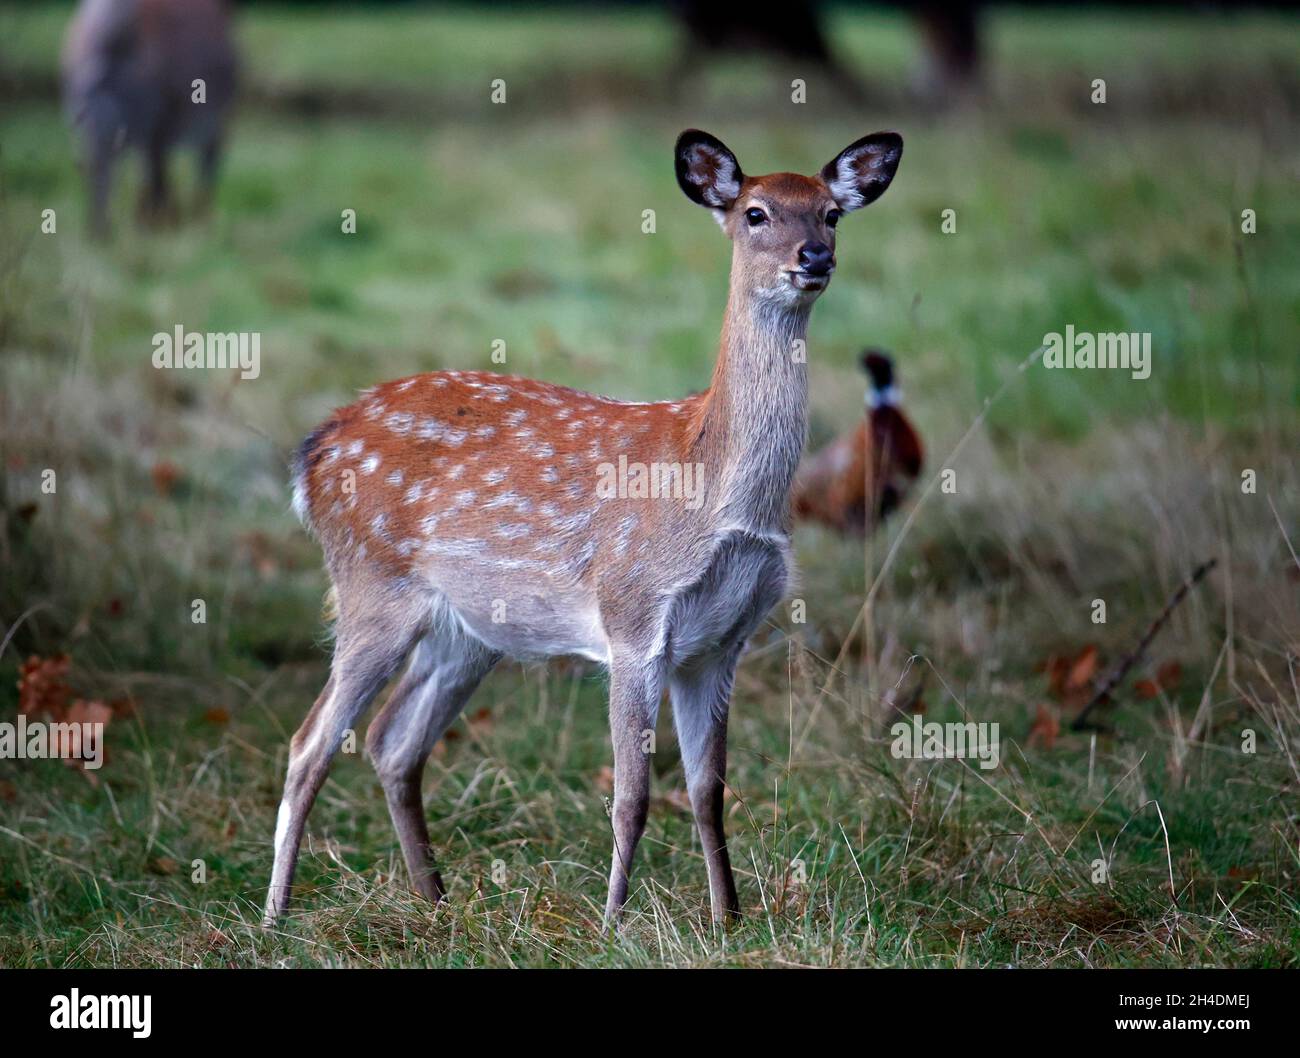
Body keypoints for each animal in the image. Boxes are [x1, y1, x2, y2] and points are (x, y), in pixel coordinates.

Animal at [62, 0, 237, 238]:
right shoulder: (208, 124)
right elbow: (198, 175)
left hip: (99, 128)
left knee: (98, 170)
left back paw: (101, 231)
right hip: (153, 127)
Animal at [265, 128, 903, 929]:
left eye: (831, 212)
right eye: (756, 213)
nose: (814, 256)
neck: (713, 487)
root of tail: (313, 452)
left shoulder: (721, 644)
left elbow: (709, 792)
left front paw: (729, 921)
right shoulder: (634, 614)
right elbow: (632, 795)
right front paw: (612, 925)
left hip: (468, 629)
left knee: (391, 741)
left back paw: (435, 903)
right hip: (371, 584)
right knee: (309, 742)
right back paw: (276, 916)